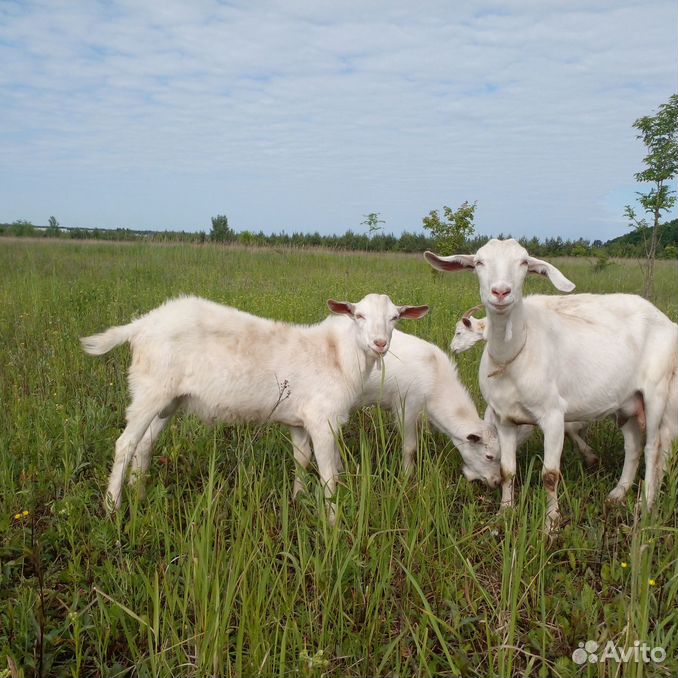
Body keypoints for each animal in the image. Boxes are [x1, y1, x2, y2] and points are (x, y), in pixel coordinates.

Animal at [82, 294, 428, 516]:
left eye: (395, 318)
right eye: (359, 316)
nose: (380, 343)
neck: (336, 355)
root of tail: (140, 325)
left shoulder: (298, 421)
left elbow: (301, 461)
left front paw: (298, 501)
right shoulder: (322, 420)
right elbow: (329, 474)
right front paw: (331, 522)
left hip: (167, 399)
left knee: (145, 443)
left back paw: (138, 495)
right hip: (150, 389)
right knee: (126, 443)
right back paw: (112, 507)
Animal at [288, 324, 504, 494]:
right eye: (489, 456)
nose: (496, 482)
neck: (436, 381)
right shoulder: (406, 407)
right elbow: (410, 448)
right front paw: (408, 477)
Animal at [428, 240, 678, 532]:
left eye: (524, 262)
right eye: (478, 262)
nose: (501, 292)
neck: (515, 356)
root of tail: (667, 321)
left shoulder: (553, 416)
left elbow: (549, 474)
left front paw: (551, 524)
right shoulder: (504, 418)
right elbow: (507, 470)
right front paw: (504, 513)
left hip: (657, 394)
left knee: (654, 448)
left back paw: (646, 505)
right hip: (627, 402)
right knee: (634, 446)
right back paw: (617, 494)